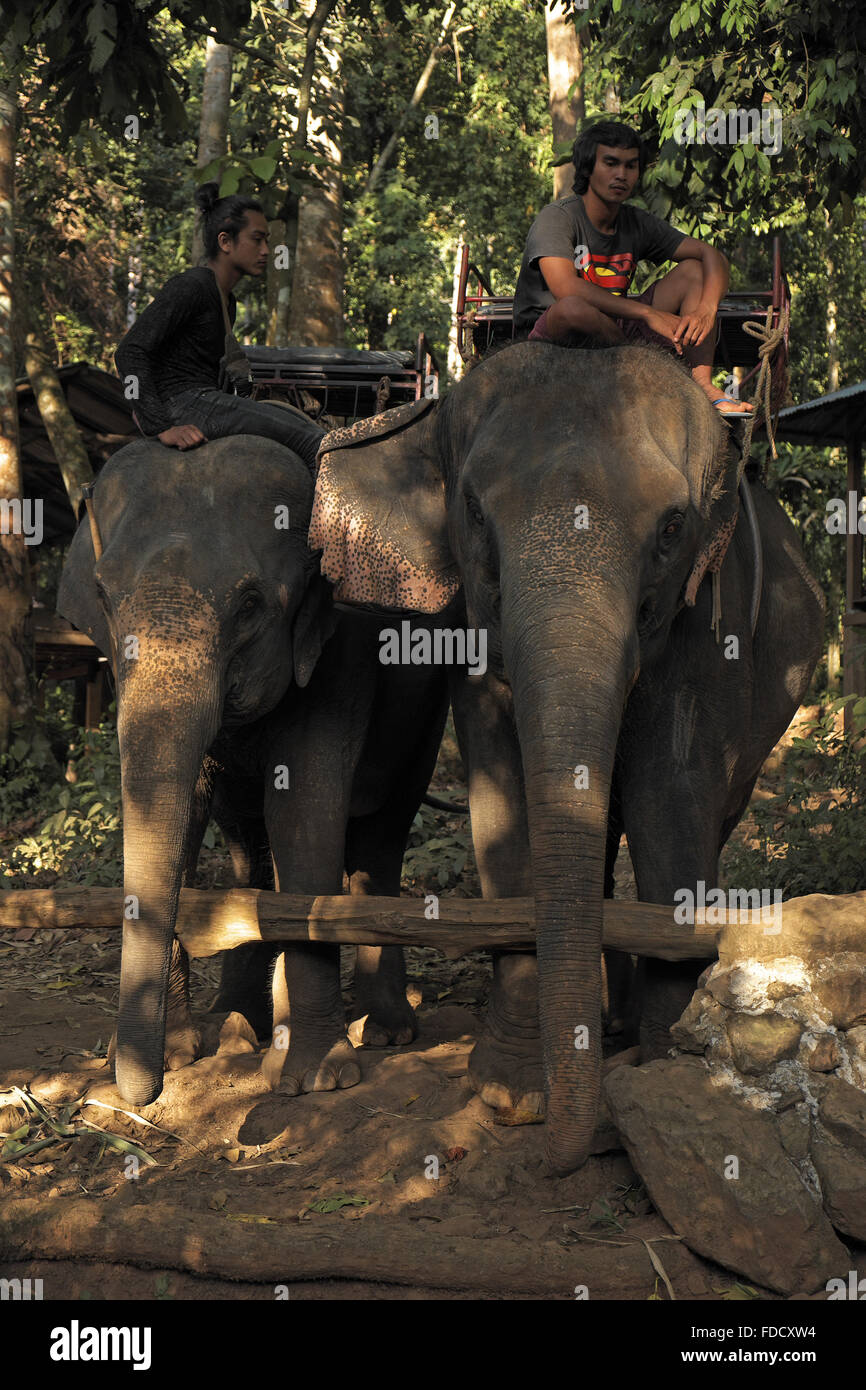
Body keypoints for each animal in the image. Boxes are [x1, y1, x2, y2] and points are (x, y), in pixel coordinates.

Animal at [57, 432, 449, 1108]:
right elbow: (187, 810)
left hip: (427, 708)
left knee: (381, 836)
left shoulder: (340, 656)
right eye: (103, 598)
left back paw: (383, 1032)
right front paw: (182, 1053)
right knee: (247, 844)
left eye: (249, 606)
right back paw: (240, 1026)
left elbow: (304, 815)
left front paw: (316, 1079)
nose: (138, 1094)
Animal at [307, 341, 824, 1175]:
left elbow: (671, 798)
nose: (568, 1154)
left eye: (673, 526)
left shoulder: (706, 624)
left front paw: (670, 1073)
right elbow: (506, 798)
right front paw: (516, 1094)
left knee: (707, 817)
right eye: (474, 510)